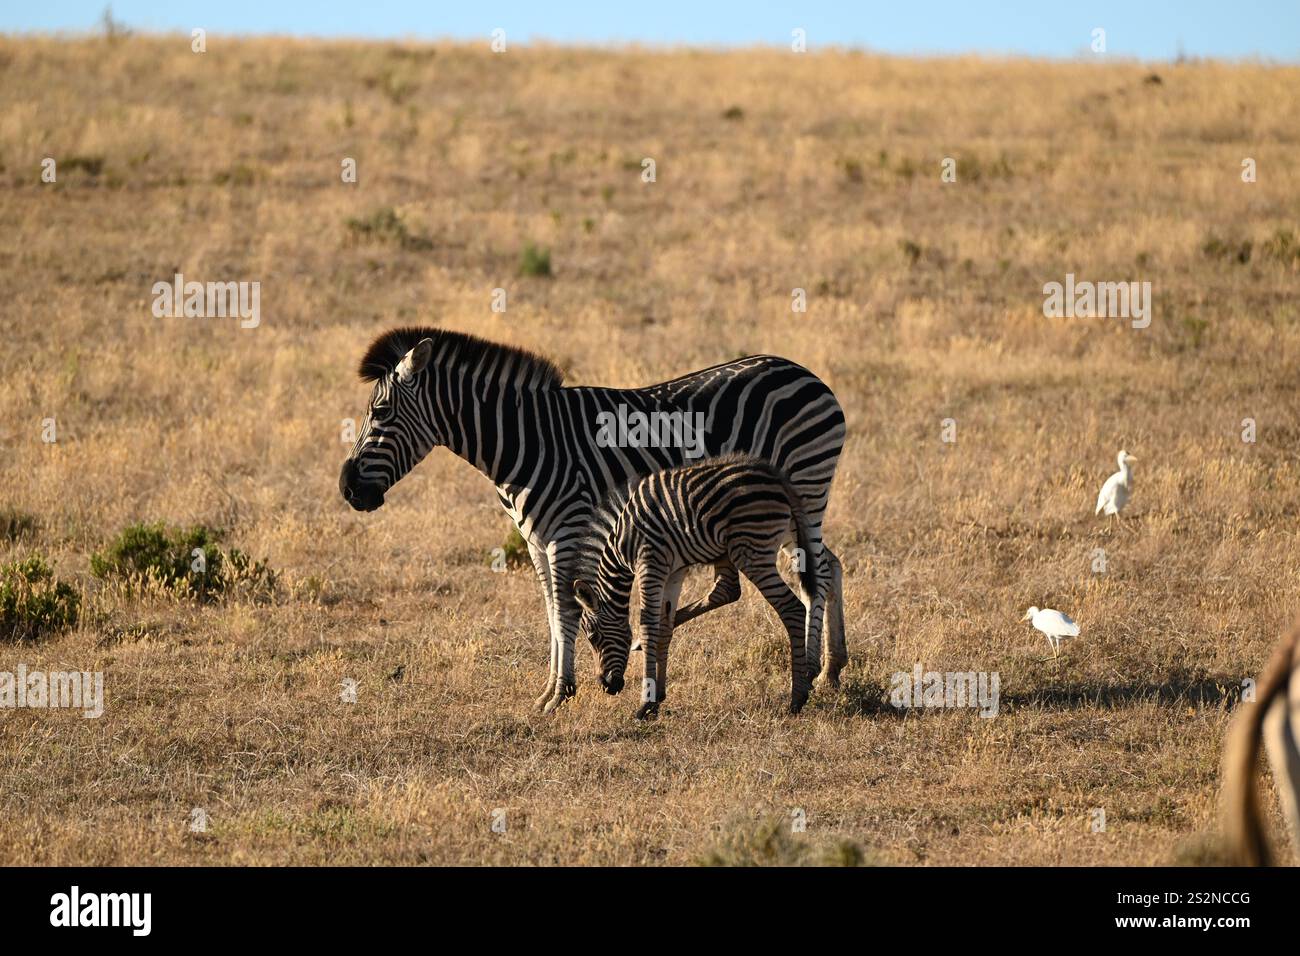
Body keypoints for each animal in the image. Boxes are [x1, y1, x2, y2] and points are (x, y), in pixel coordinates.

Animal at [572, 455, 824, 718]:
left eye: (593, 637)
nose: (606, 686)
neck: (622, 546)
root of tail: (778, 479)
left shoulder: (650, 564)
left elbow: (649, 626)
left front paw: (645, 704)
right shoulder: (673, 571)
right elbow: (664, 626)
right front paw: (658, 697)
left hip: (751, 551)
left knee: (793, 608)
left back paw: (797, 698)